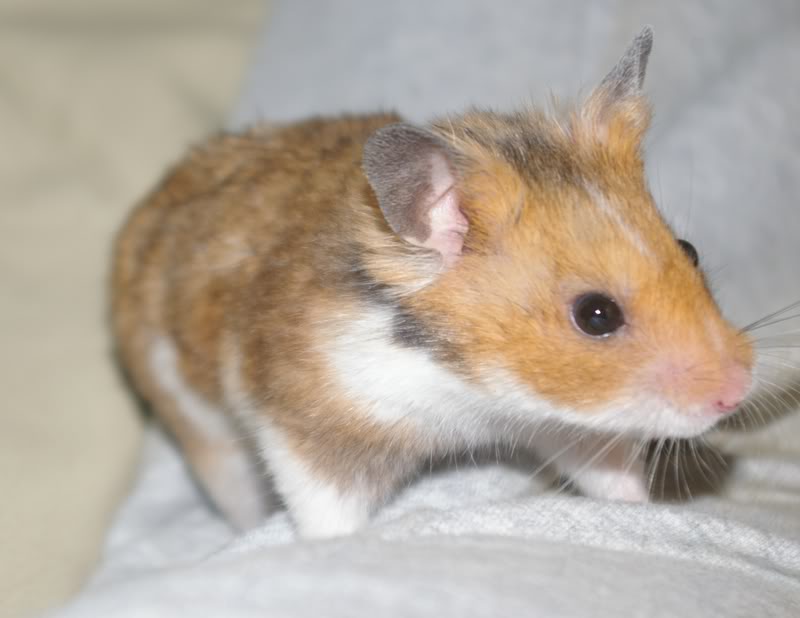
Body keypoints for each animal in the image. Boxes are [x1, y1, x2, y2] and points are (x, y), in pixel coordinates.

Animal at [112, 28, 753, 537]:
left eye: (690, 251)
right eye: (596, 314)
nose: (737, 391)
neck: (467, 383)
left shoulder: (565, 419)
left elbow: (609, 474)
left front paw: (643, 509)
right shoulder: (316, 425)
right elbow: (326, 512)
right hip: (201, 430)